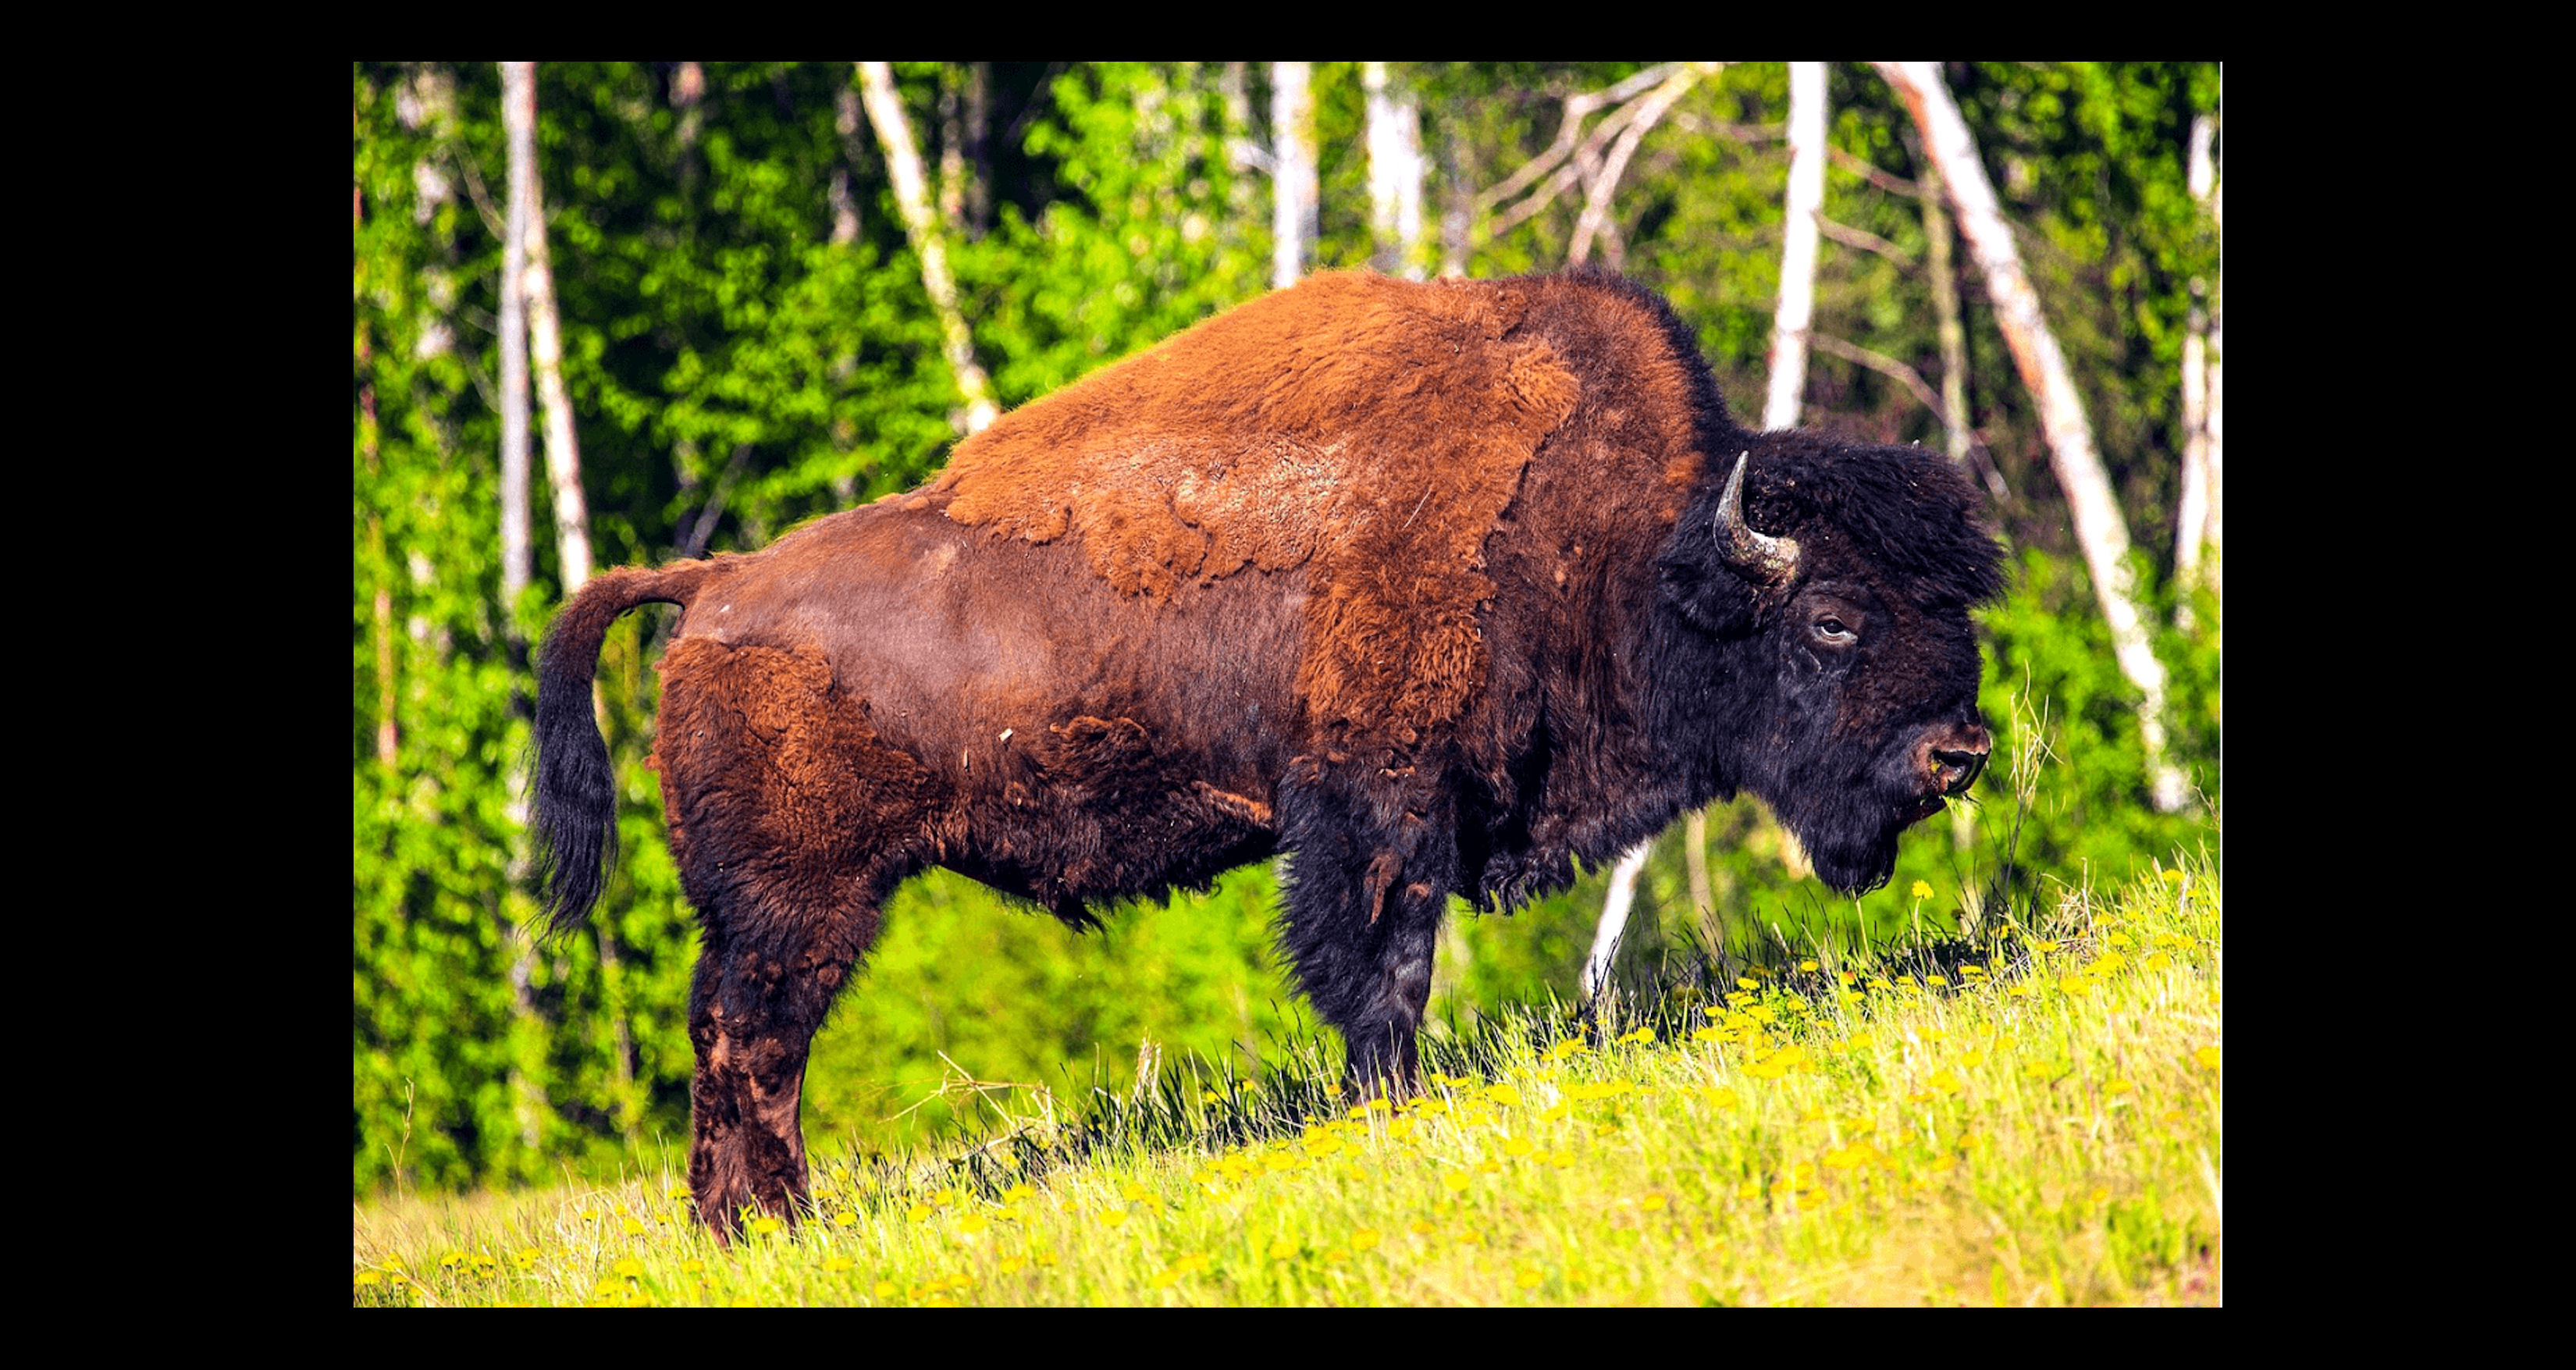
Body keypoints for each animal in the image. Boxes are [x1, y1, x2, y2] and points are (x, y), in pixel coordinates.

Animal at [534, 270, 2004, 1236]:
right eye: (1832, 618)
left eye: (1960, 604)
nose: (1960, 752)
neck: (1622, 542)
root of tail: (712, 585)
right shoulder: (1378, 798)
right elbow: (1384, 965)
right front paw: (1389, 1105)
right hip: (803, 903)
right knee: (753, 1042)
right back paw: (776, 1222)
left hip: (773, 908)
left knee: (730, 1038)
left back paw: (741, 1227)